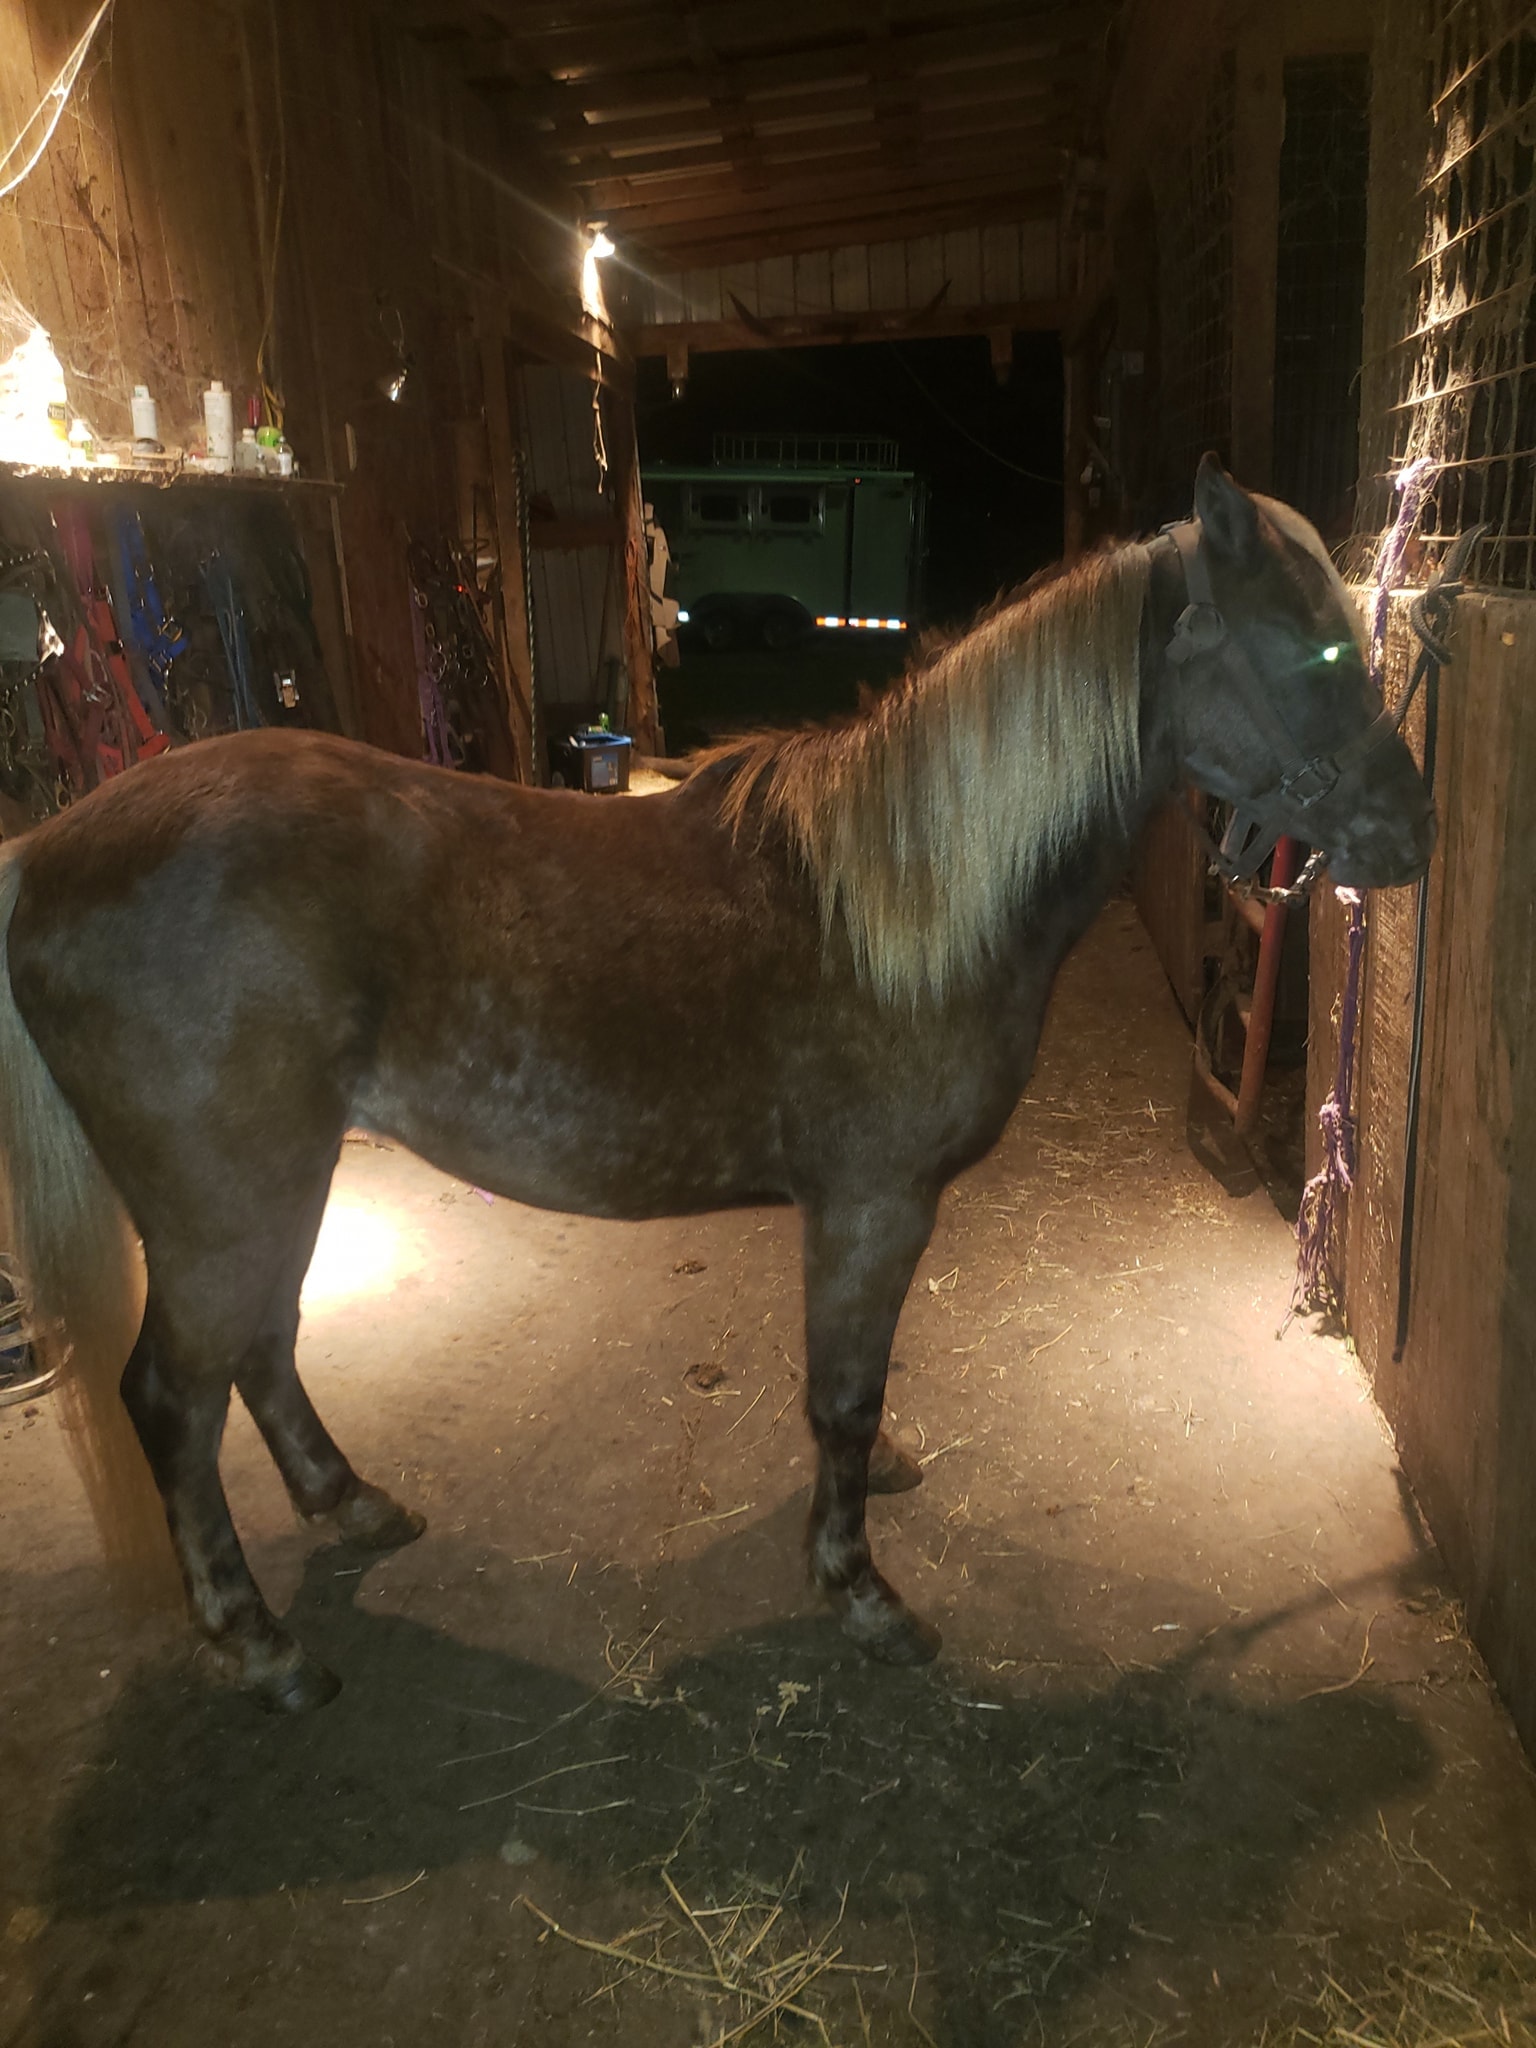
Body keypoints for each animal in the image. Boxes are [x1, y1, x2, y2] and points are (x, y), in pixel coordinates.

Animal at [0, 458, 1434, 1712]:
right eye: (1316, 654)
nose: (1409, 837)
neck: (905, 897)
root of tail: (49, 852)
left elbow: (858, 1390)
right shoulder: (872, 1208)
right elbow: (842, 1395)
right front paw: (858, 1587)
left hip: (274, 1188)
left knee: (264, 1344)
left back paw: (349, 1503)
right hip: (223, 1208)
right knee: (173, 1400)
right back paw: (259, 1643)